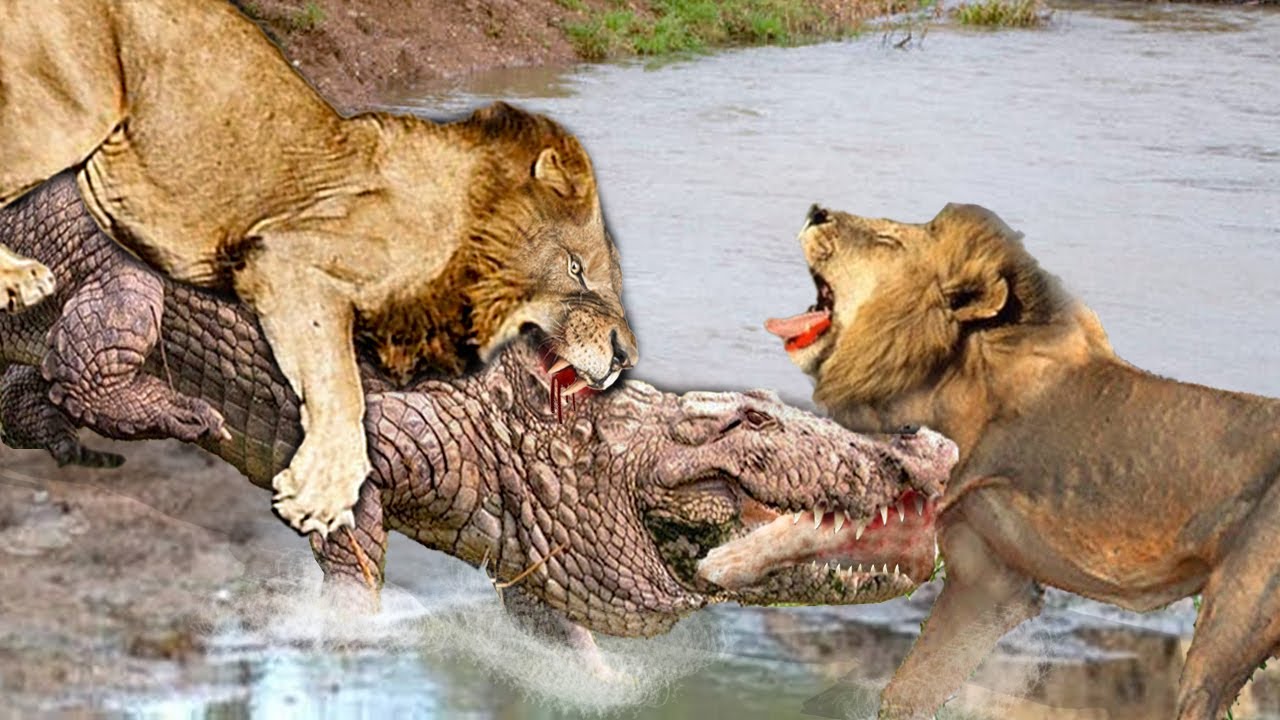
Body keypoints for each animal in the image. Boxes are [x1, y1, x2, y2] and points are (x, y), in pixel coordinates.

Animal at [0, 0, 637, 536]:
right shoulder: (286, 258)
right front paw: (322, 494)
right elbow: (340, 384)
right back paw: (23, 280)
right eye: (576, 268)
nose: (625, 357)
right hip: (70, 108)